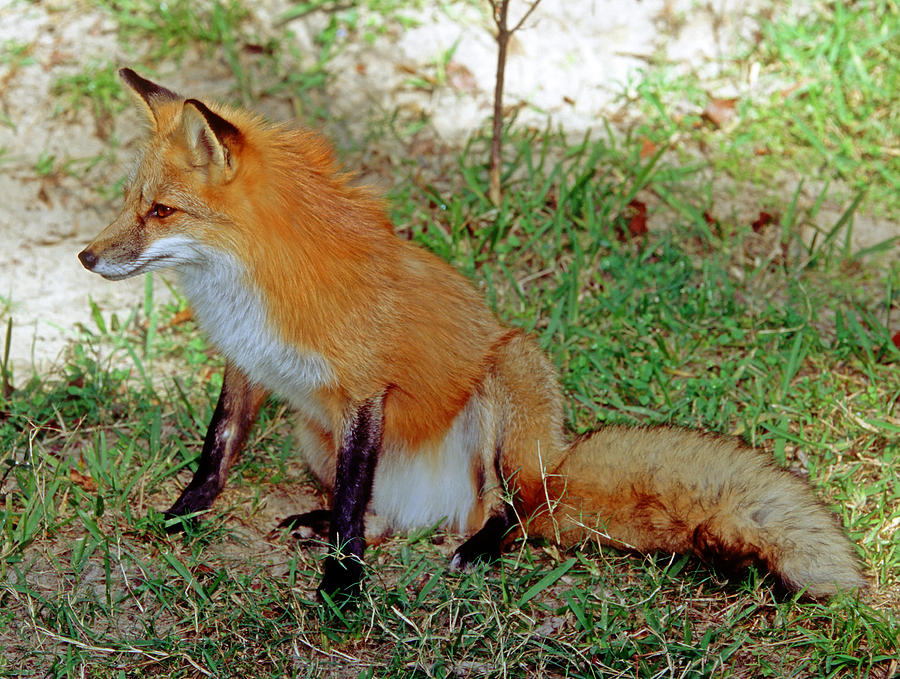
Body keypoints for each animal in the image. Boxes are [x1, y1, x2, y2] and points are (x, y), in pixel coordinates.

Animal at [78, 69, 864, 604]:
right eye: (130, 202)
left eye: (160, 210)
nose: (85, 257)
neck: (252, 283)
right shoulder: (248, 367)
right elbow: (217, 454)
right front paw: (180, 521)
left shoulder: (364, 389)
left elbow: (351, 502)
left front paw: (341, 584)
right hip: (311, 430)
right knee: (383, 516)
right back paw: (326, 520)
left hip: (508, 378)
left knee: (513, 509)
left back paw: (480, 547)